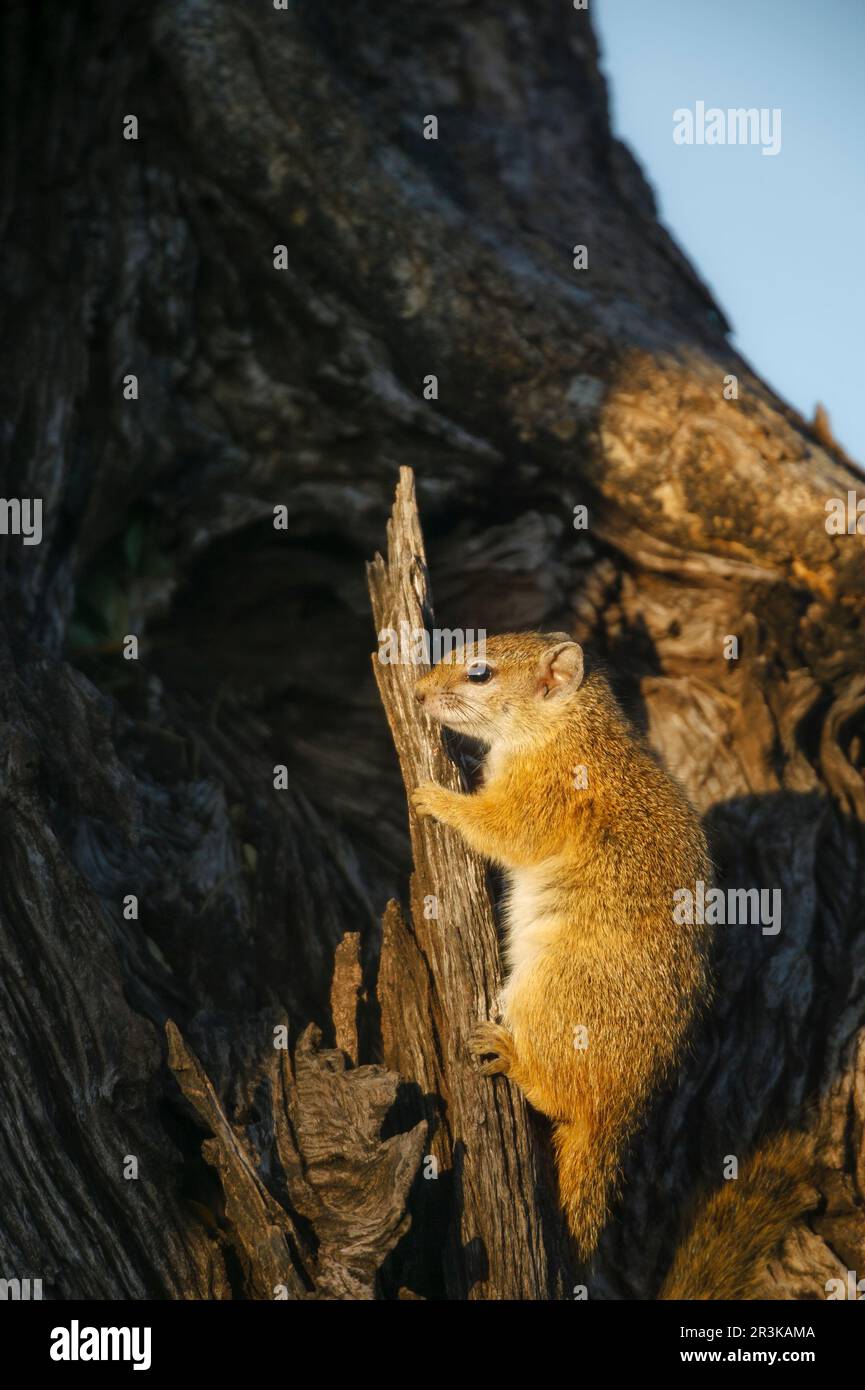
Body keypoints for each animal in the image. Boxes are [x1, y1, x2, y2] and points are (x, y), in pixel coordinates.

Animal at [410, 630, 821, 1286]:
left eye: (480, 673)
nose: (420, 694)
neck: (566, 729)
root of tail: (621, 1111)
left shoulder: (550, 793)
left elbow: (505, 831)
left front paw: (438, 799)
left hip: (557, 996)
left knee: (559, 1093)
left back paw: (513, 1058)